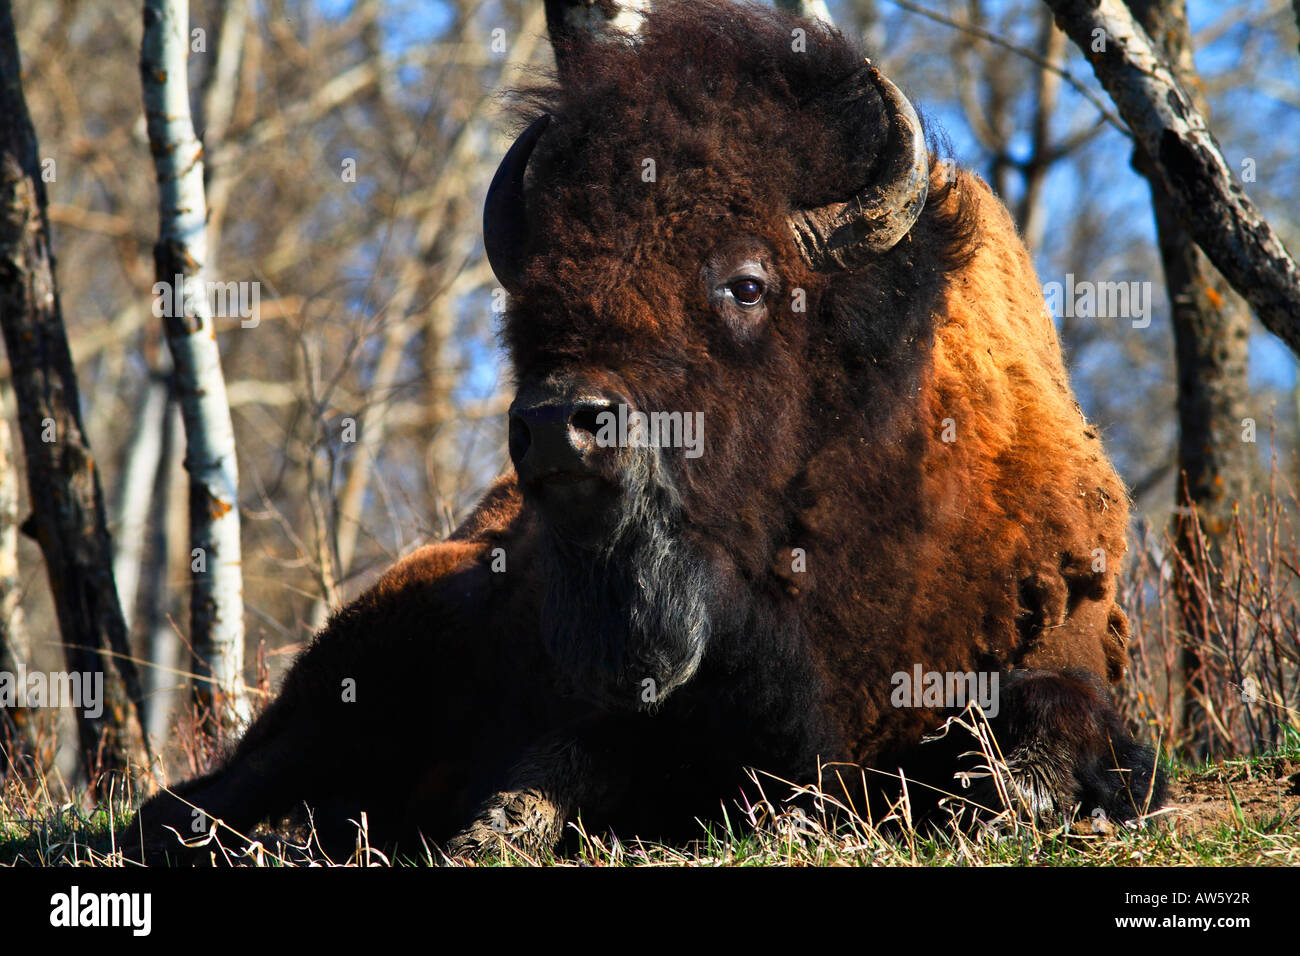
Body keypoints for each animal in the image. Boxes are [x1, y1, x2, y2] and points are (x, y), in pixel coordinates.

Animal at [131, 0, 1165, 863]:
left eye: (747, 282)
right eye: (530, 302)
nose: (562, 425)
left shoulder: (1064, 638)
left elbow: (1050, 719)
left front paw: (1021, 795)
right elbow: (560, 764)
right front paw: (493, 828)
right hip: (351, 669)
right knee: (202, 793)